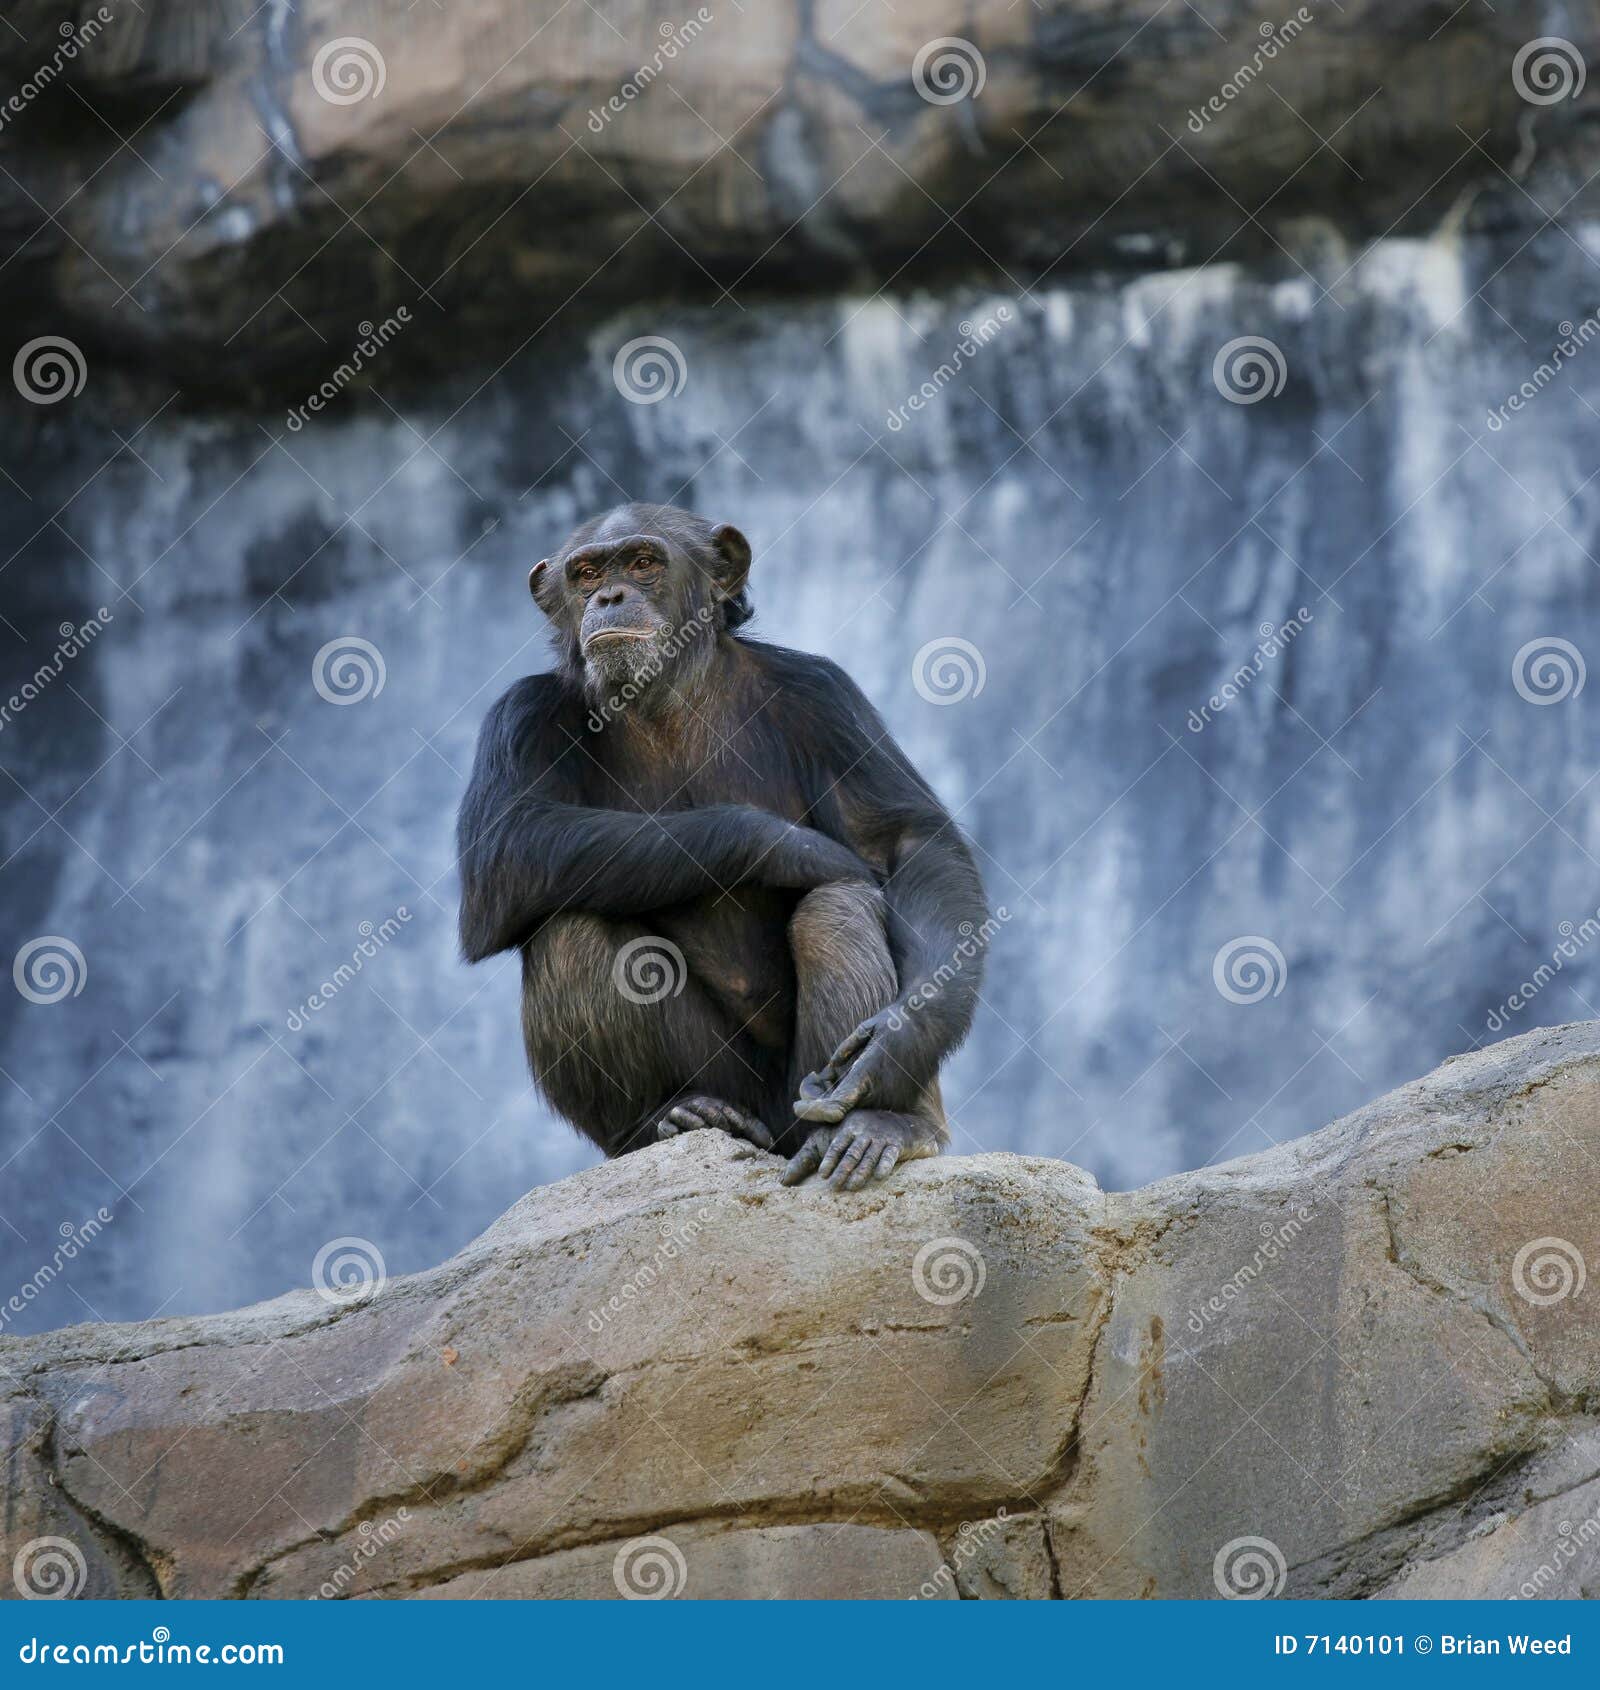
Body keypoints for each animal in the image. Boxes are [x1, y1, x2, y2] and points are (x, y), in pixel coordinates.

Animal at [456, 502, 988, 1190]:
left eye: (643, 562)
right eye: (586, 572)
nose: (608, 596)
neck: (670, 694)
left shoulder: (825, 694)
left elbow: (908, 844)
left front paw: (891, 1044)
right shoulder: (520, 714)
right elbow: (504, 849)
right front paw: (791, 848)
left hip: (798, 1099)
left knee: (836, 912)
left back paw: (883, 1123)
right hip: (729, 1088)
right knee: (567, 932)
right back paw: (671, 1115)